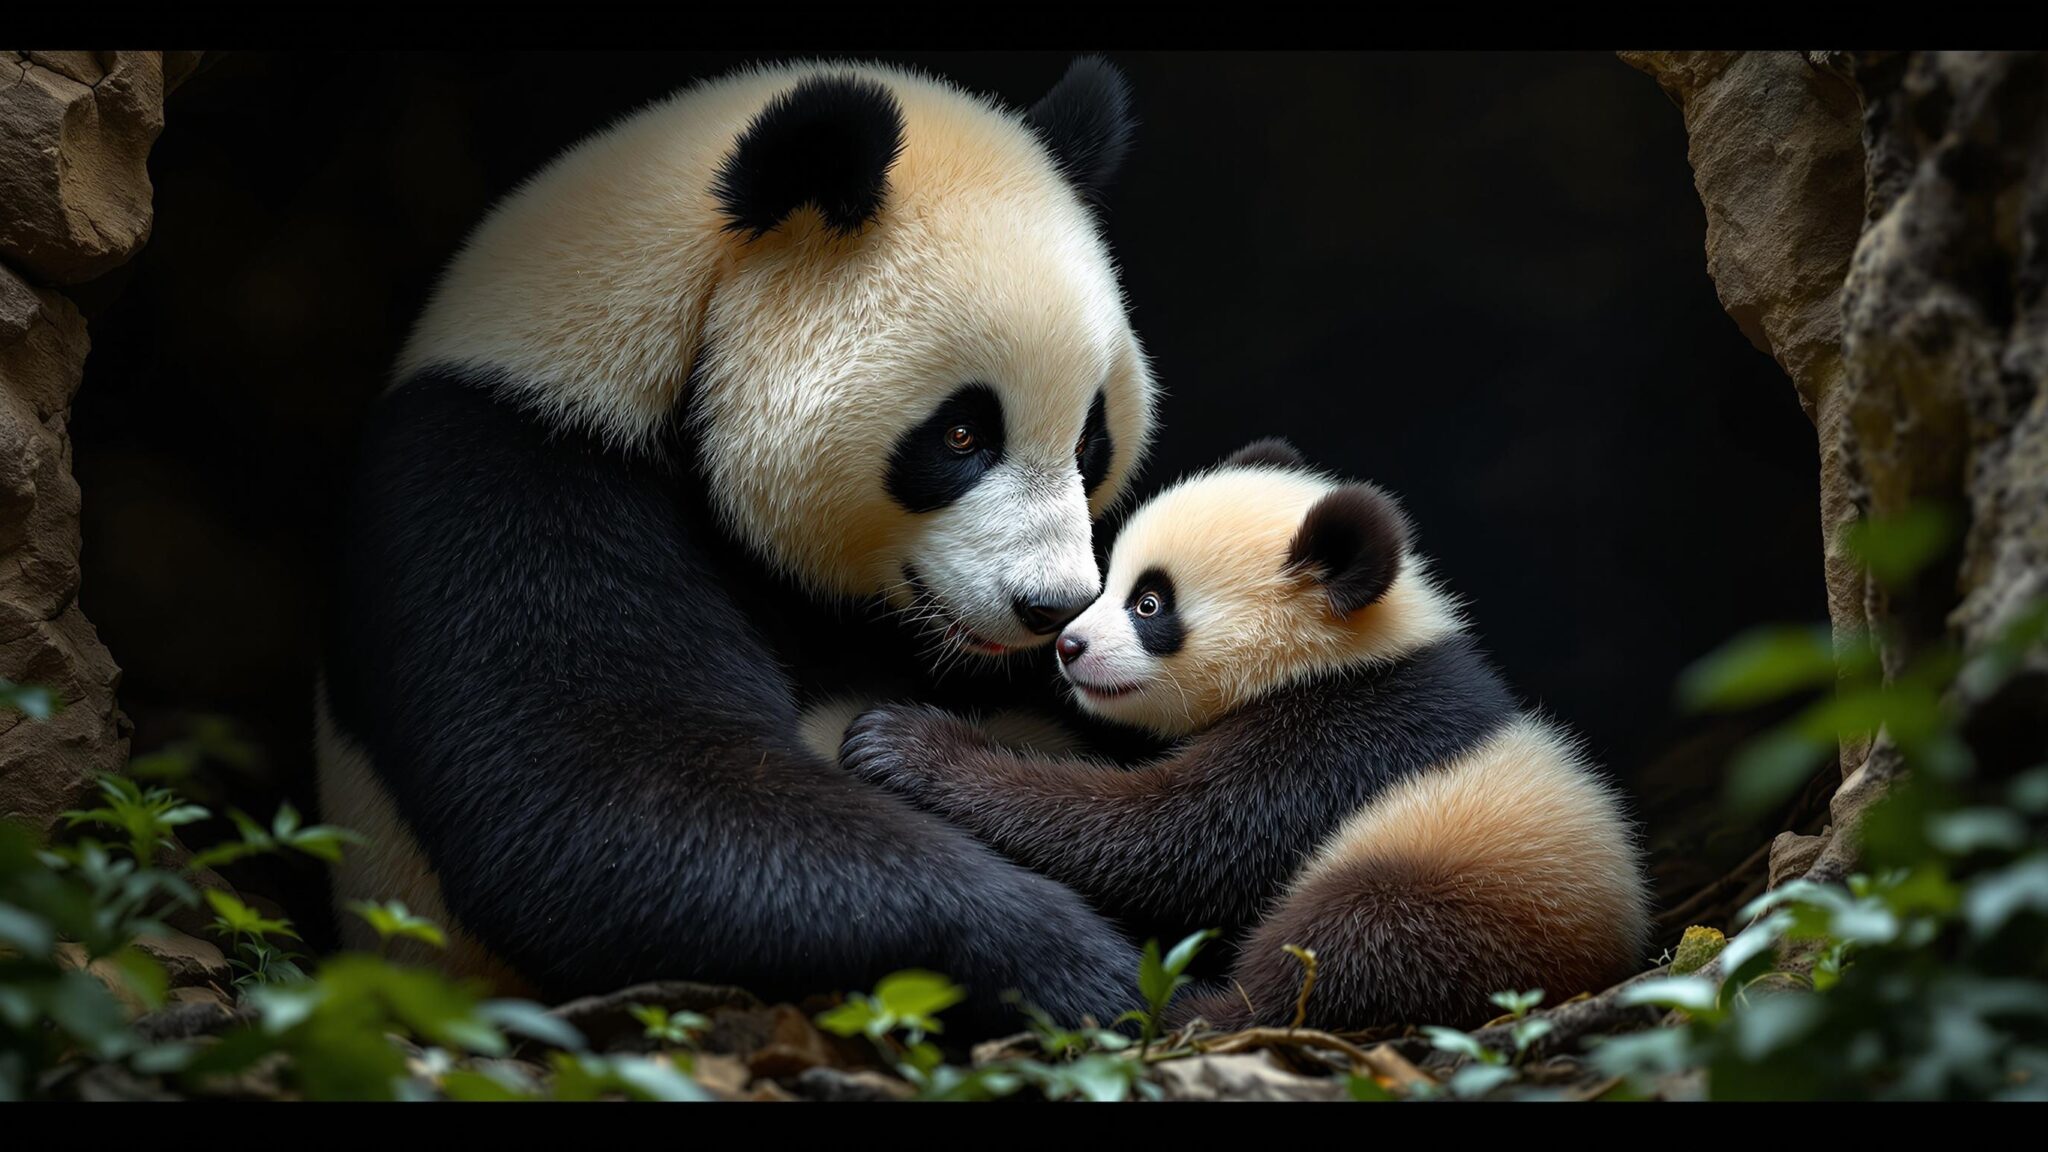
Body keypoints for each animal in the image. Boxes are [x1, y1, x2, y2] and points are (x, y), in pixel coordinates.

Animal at [316, 58, 1162, 1032]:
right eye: (961, 436)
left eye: (1090, 441)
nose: (1051, 606)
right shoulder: (513, 471)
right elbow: (617, 800)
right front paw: (1075, 964)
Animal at [841, 439, 1650, 1030]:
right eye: (1114, 580)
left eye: (1149, 603)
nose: (1068, 646)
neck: (1338, 652)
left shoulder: (1340, 737)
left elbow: (1174, 841)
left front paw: (903, 744)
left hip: (1472, 891)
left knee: (1356, 946)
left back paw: (1186, 1014)